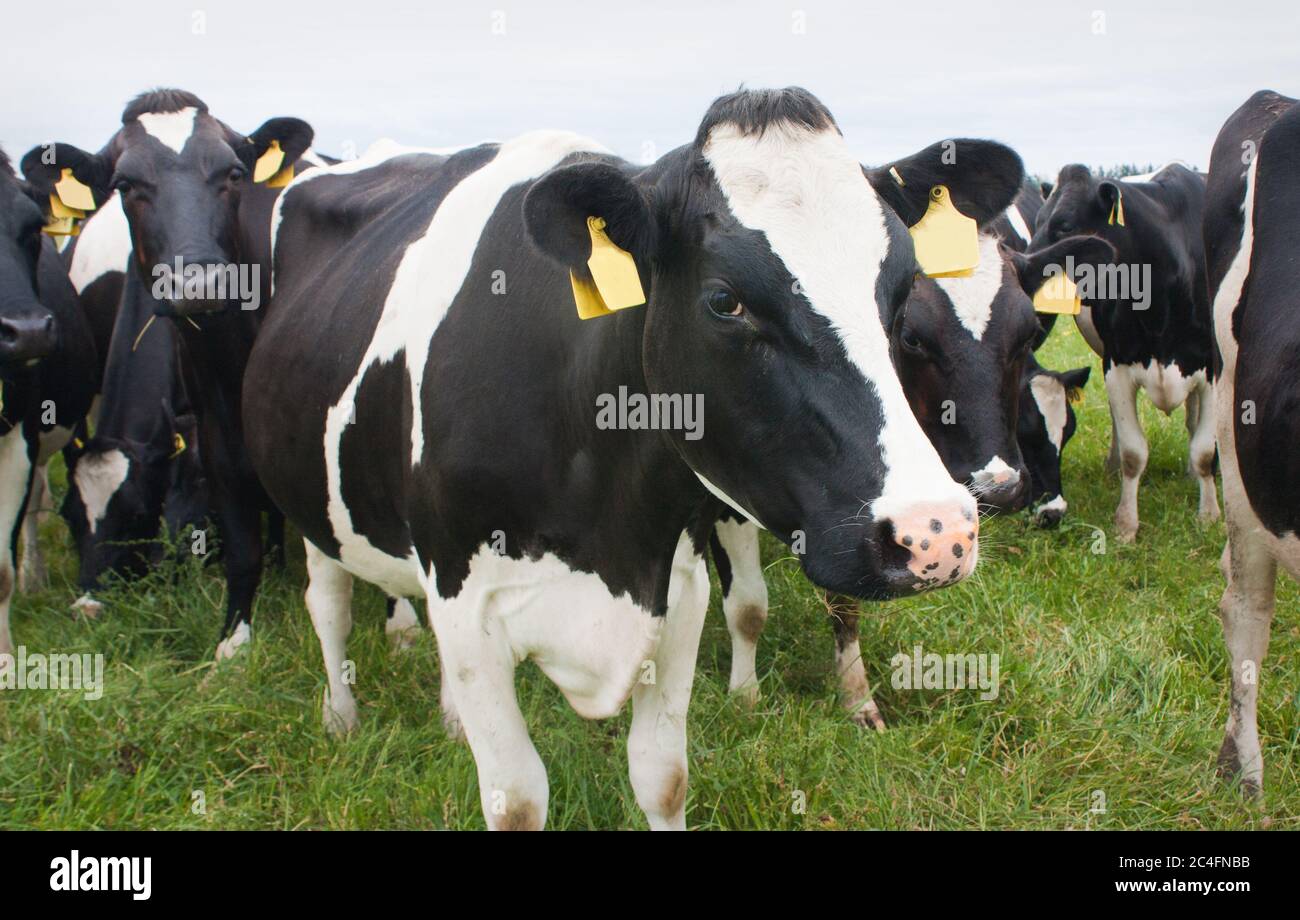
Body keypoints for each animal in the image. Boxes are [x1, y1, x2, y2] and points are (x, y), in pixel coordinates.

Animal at [25, 89, 320, 657]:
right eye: (124, 184)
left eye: (233, 173)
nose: (199, 283)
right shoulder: (215, 426)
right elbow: (239, 541)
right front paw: (233, 636)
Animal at [237, 88, 1001, 829]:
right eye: (725, 301)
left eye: (900, 294)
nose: (938, 535)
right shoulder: (465, 600)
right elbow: (516, 800)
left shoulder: (680, 588)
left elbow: (663, 779)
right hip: (312, 506)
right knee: (328, 604)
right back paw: (340, 715)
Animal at [1031, 162, 1216, 542]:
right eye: (1037, 220)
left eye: (1065, 225)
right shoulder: (1115, 366)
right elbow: (1134, 452)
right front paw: (1126, 524)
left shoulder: (1213, 370)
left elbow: (1204, 450)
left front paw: (1209, 515)